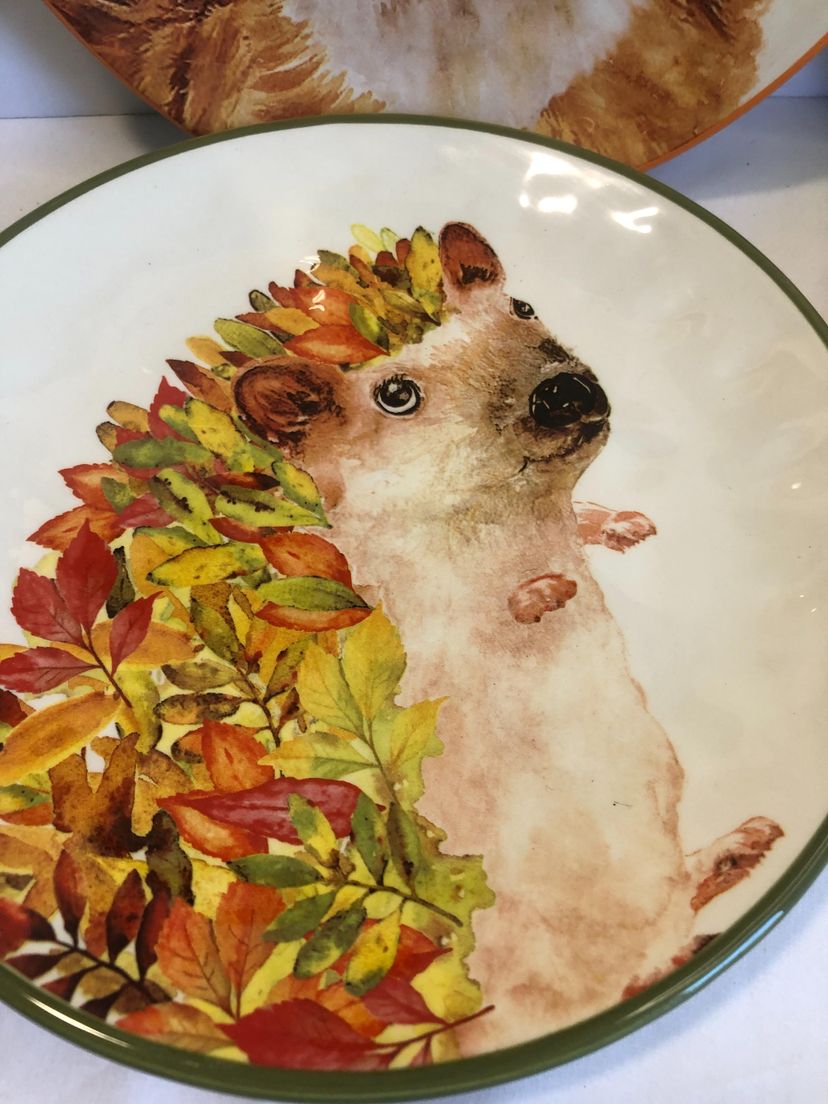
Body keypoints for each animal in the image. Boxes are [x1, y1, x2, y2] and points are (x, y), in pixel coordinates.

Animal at [233, 221, 782, 1051]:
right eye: (396, 395)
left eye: (522, 307)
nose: (566, 390)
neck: (512, 521)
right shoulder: (421, 628)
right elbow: (477, 618)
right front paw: (544, 596)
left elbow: (585, 527)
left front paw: (623, 527)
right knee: (620, 971)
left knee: (679, 898)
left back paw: (741, 849)